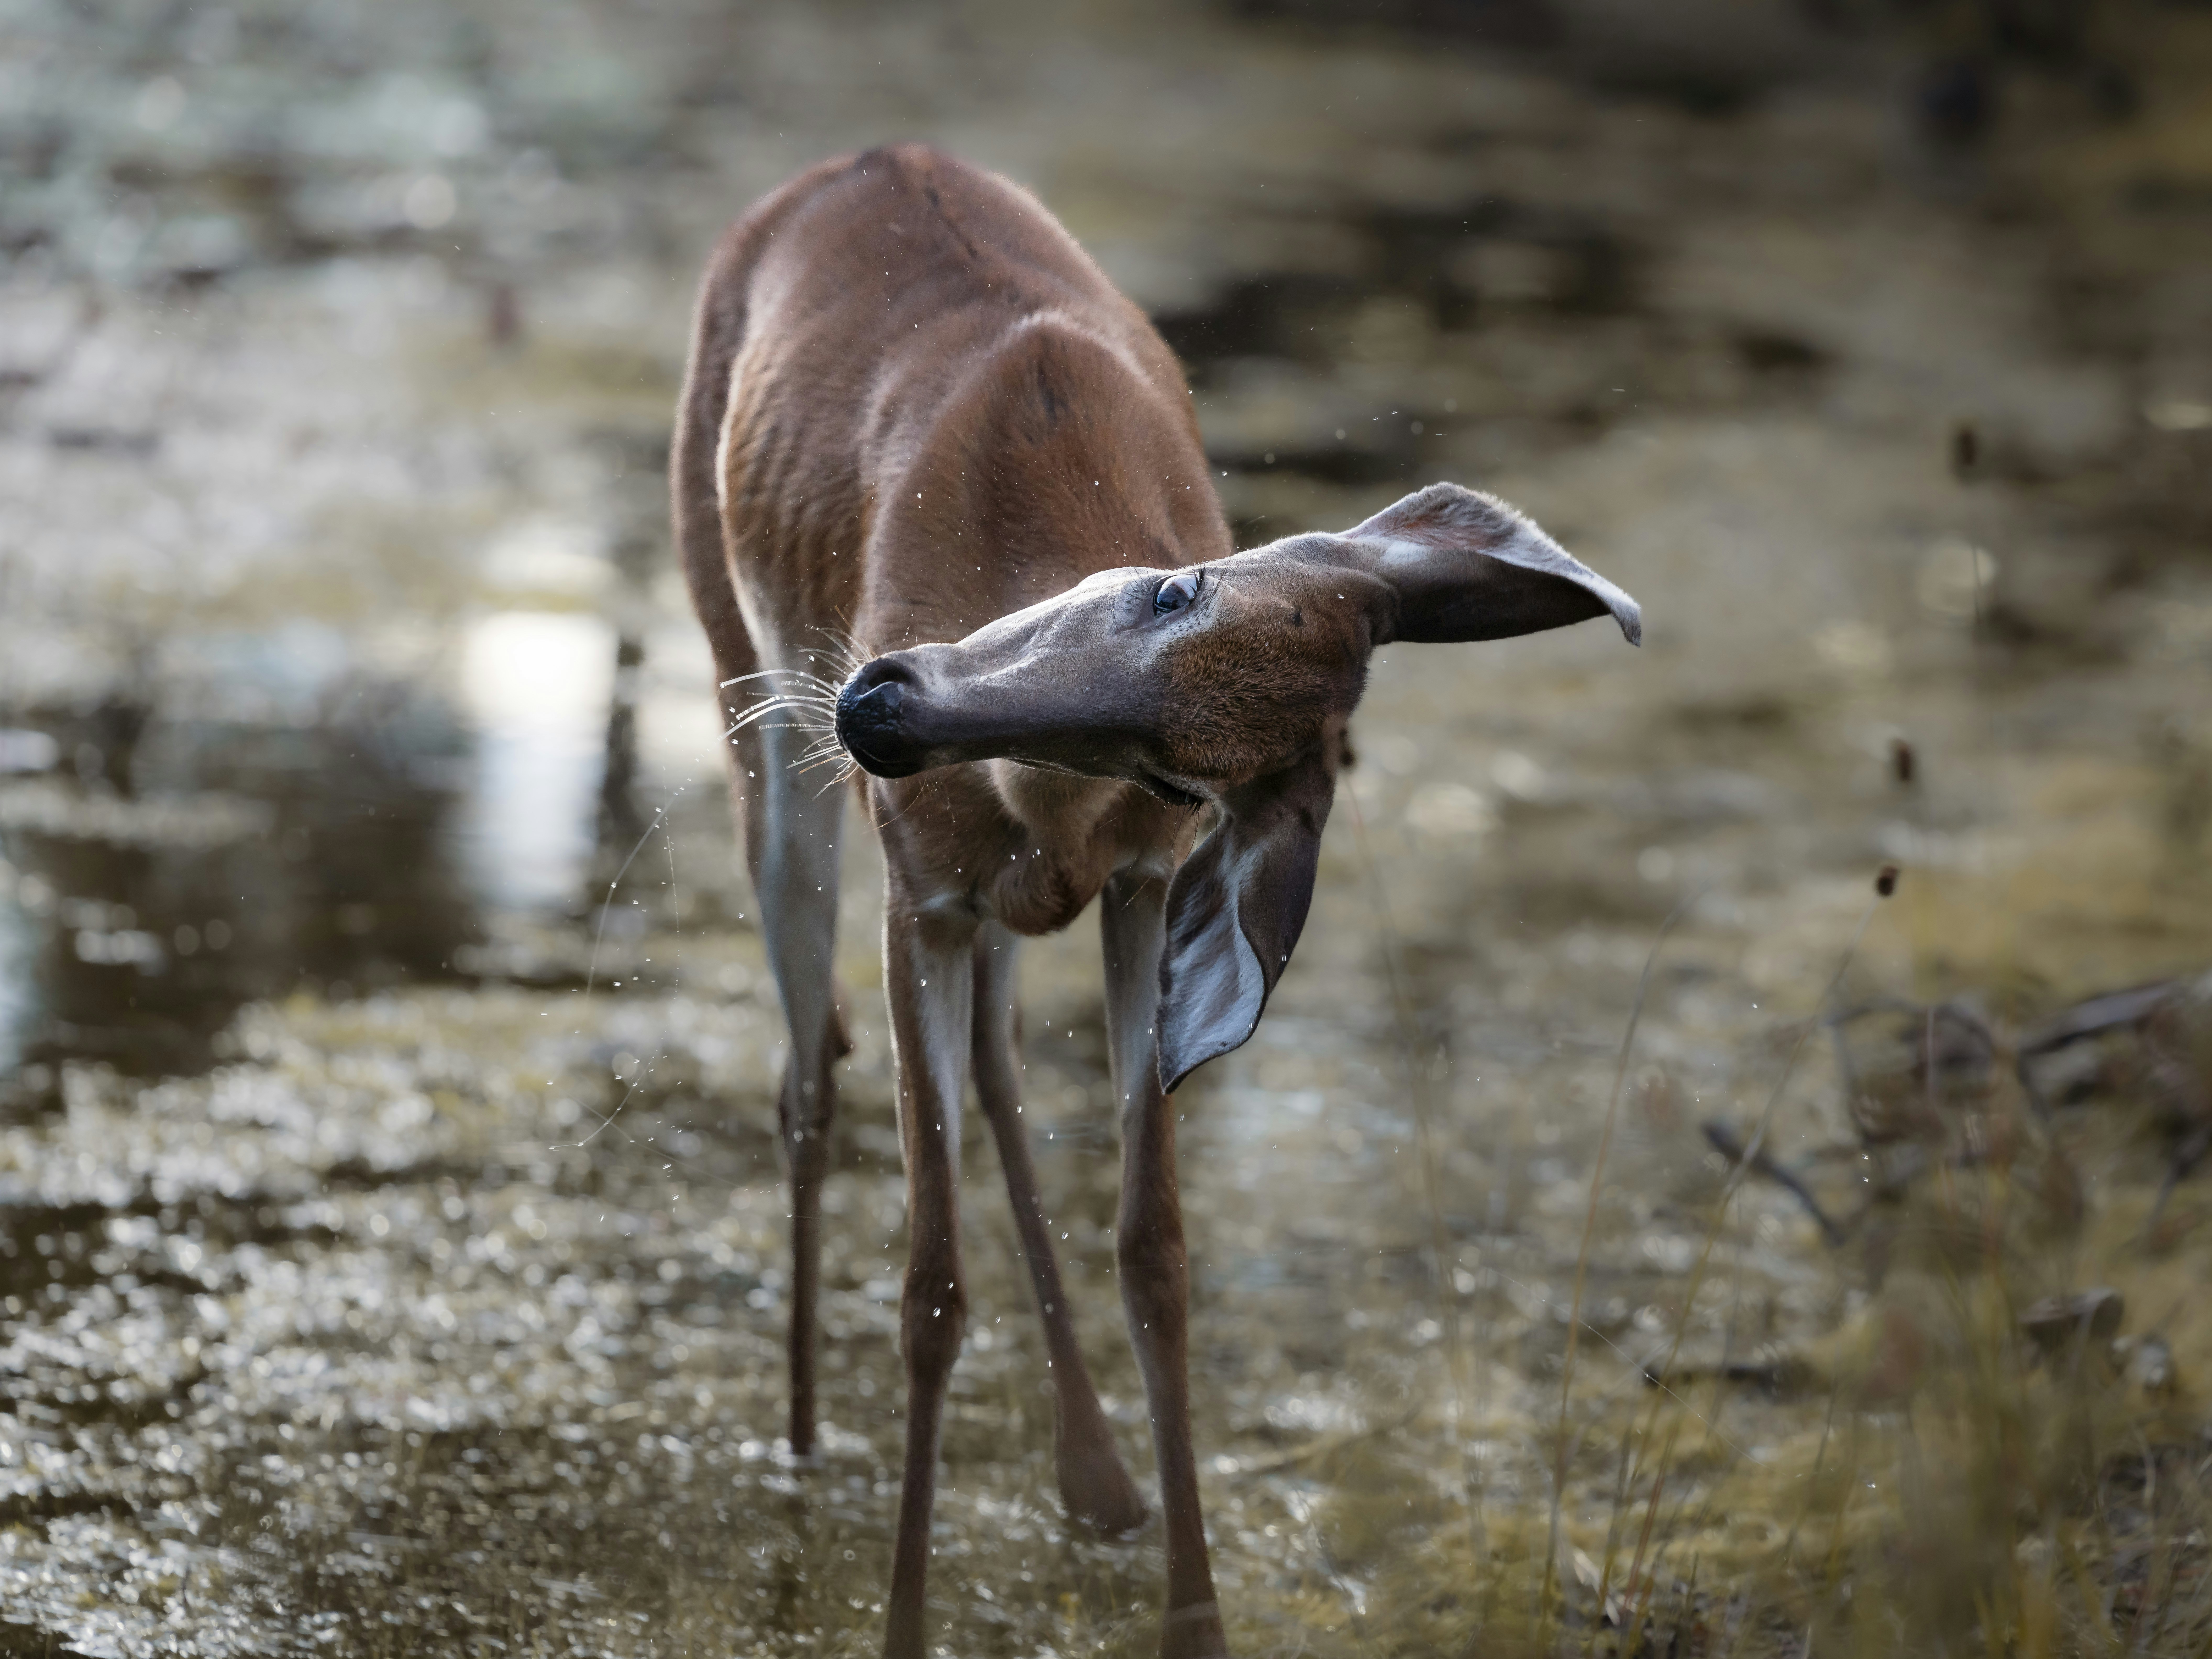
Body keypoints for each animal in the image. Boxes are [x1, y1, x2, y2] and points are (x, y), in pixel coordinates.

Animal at [673, 144, 1641, 1659]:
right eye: (1170, 590)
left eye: (1185, 771)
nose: (886, 704)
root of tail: (868, 158)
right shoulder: (917, 890)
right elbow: (931, 1284)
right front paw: (901, 1619)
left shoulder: (1130, 887)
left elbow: (1156, 1248)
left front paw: (1193, 1605)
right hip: (749, 693)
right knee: (807, 1070)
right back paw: (805, 1440)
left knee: (991, 1060)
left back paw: (1097, 1482)